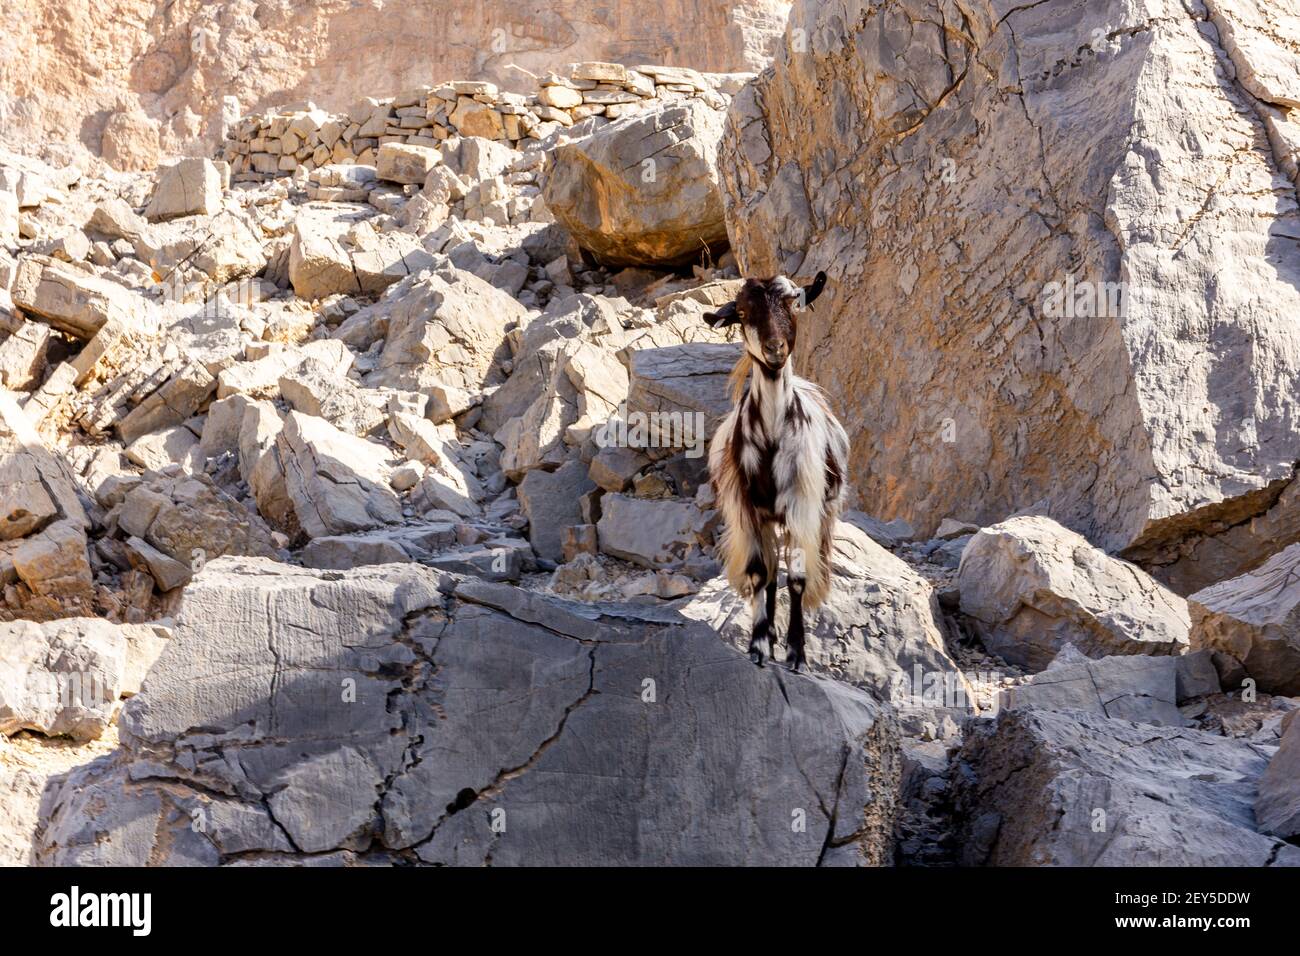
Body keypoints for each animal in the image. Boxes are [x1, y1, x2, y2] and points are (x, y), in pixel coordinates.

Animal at [705, 272, 849, 671]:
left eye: (792, 303)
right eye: (742, 312)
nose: (775, 349)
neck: (771, 434)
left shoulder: (801, 503)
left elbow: (797, 577)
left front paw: (797, 653)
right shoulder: (747, 507)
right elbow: (758, 573)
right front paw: (757, 645)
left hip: (821, 512)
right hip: (769, 517)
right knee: (769, 575)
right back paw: (768, 634)